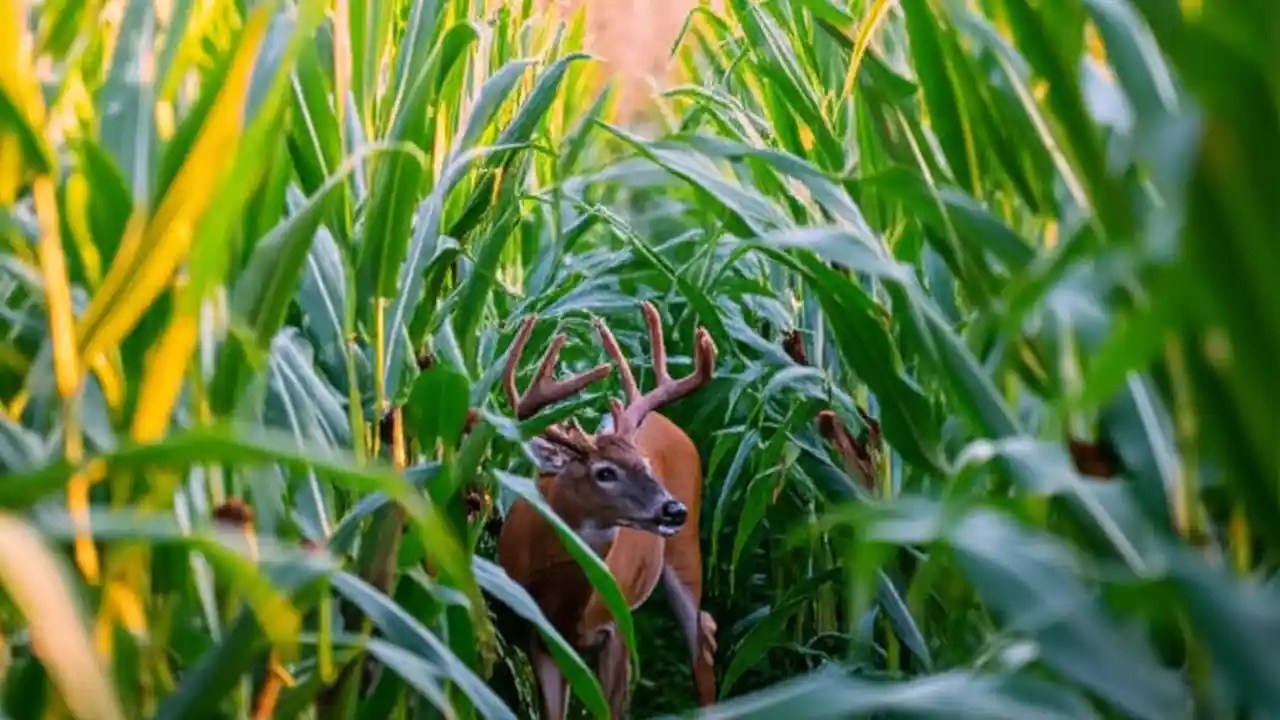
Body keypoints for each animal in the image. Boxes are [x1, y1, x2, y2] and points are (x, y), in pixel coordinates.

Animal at [495, 302, 719, 719]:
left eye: (645, 464)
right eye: (604, 472)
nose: (673, 510)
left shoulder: (616, 625)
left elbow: (612, 709)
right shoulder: (540, 635)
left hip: (685, 553)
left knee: (702, 649)